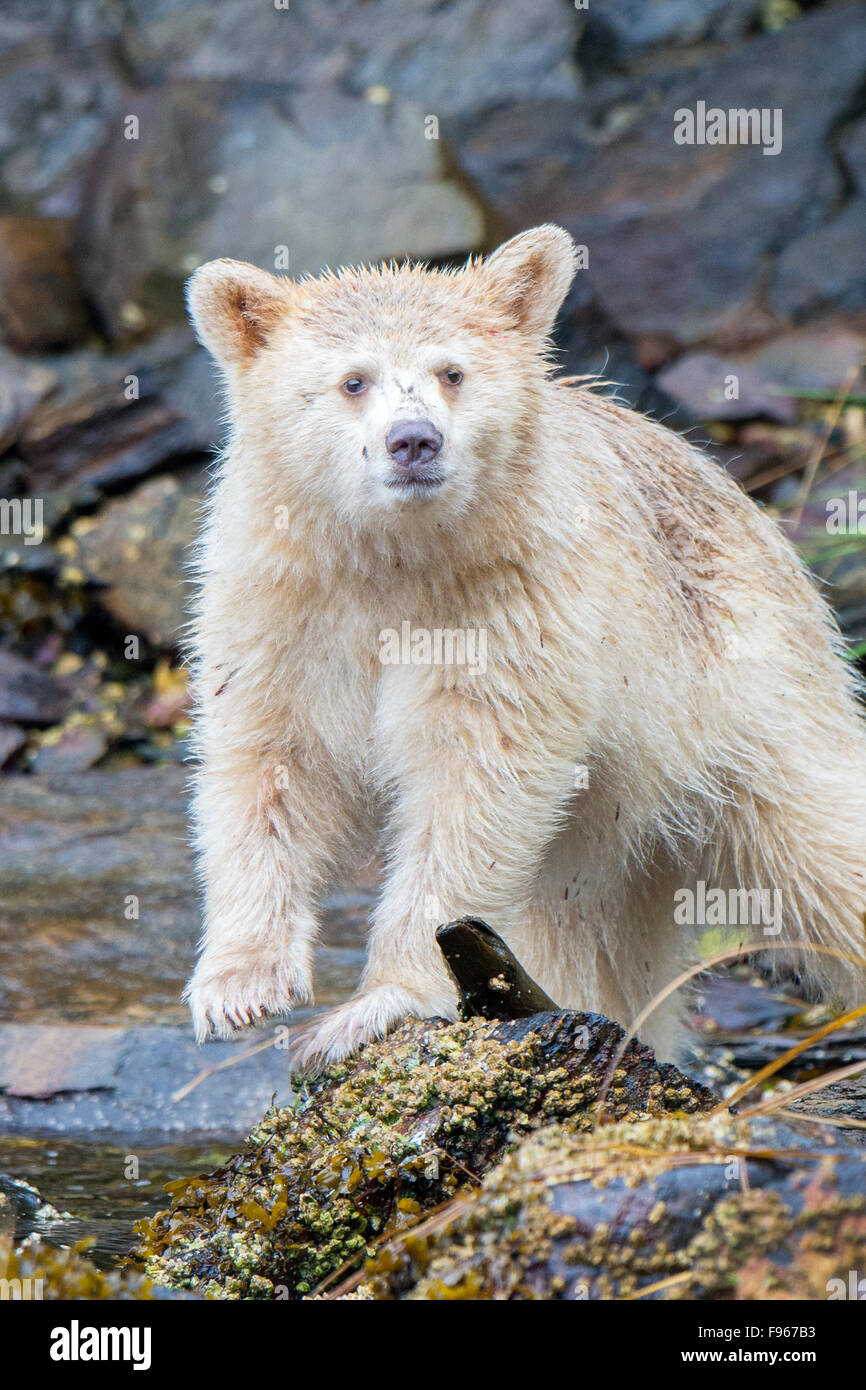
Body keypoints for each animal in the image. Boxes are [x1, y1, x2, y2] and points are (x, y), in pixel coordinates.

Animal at [183, 225, 866, 1070]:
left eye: (452, 371)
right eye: (352, 381)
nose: (414, 441)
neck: (394, 558)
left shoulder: (511, 605)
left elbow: (473, 779)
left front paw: (373, 1006)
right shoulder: (281, 608)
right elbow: (269, 765)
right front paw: (239, 988)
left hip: (746, 686)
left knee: (823, 847)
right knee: (588, 933)